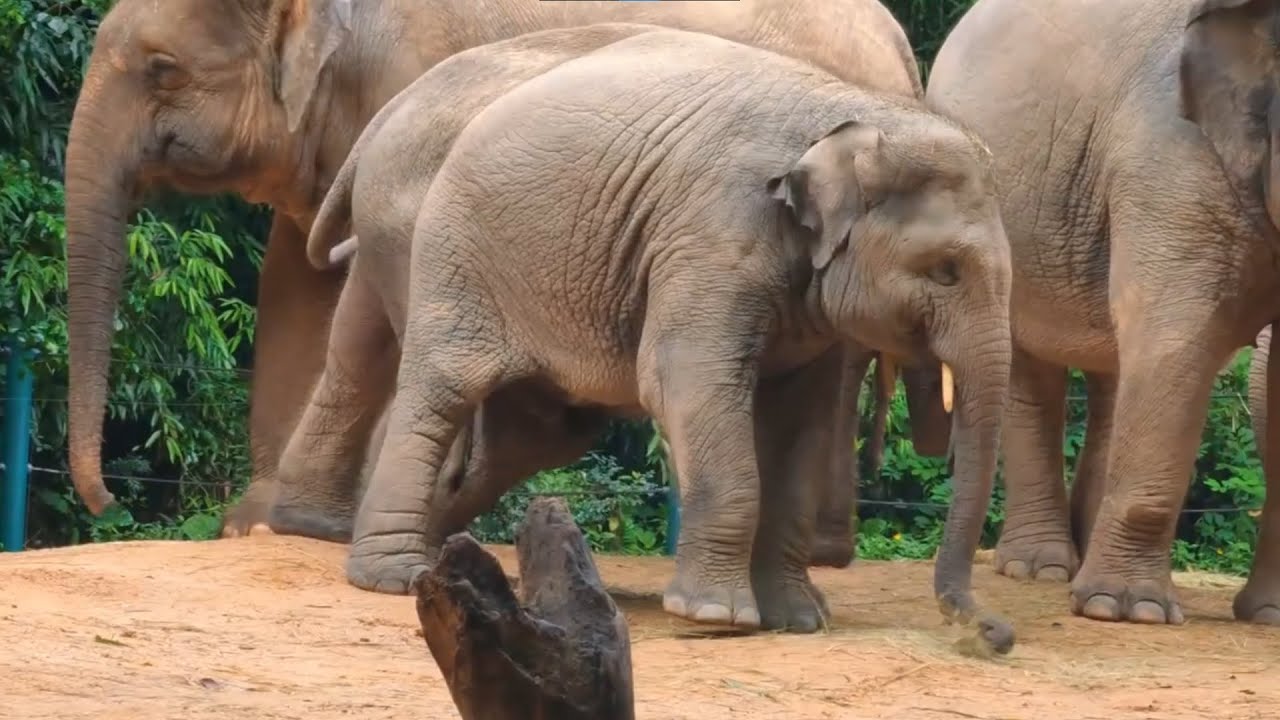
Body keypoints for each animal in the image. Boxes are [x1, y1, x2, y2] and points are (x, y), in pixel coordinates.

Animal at [63, 0, 947, 561]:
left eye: (162, 68)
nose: (105, 502)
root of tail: (904, 52)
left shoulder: (406, 85)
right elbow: (297, 284)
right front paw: (259, 525)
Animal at [316, 26, 1014, 646]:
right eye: (945, 270)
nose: (990, 634)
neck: (851, 115)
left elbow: (800, 421)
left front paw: (801, 620)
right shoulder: (712, 233)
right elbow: (684, 382)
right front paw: (716, 618)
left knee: (535, 434)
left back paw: (447, 556)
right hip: (458, 254)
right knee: (443, 393)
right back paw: (395, 576)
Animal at [927, 0, 1280, 625]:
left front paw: (1268, 616)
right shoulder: (1173, 161)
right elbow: (1173, 341)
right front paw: (1128, 611)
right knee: (1030, 368)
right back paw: (1039, 570)